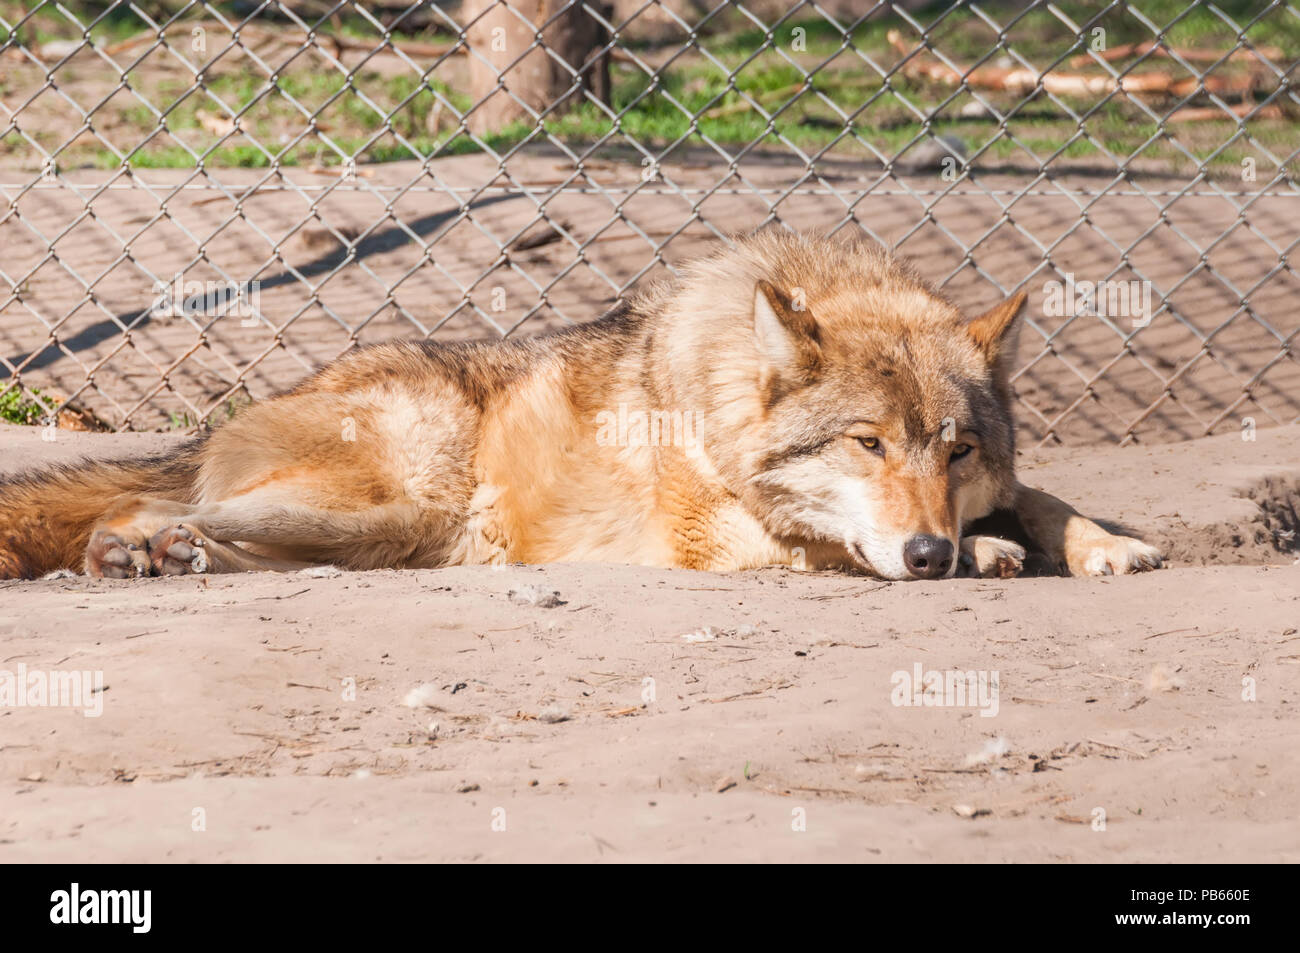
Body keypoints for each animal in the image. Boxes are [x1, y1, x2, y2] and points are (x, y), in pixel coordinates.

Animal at [0, 230, 1161, 582]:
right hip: (408, 499)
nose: (928, 551)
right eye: (867, 444)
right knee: (156, 513)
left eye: (957, 451)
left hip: (397, 537)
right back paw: (136, 550)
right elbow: (822, 539)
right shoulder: (714, 537)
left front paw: (1101, 543)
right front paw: (989, 551)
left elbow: (1046, 498)